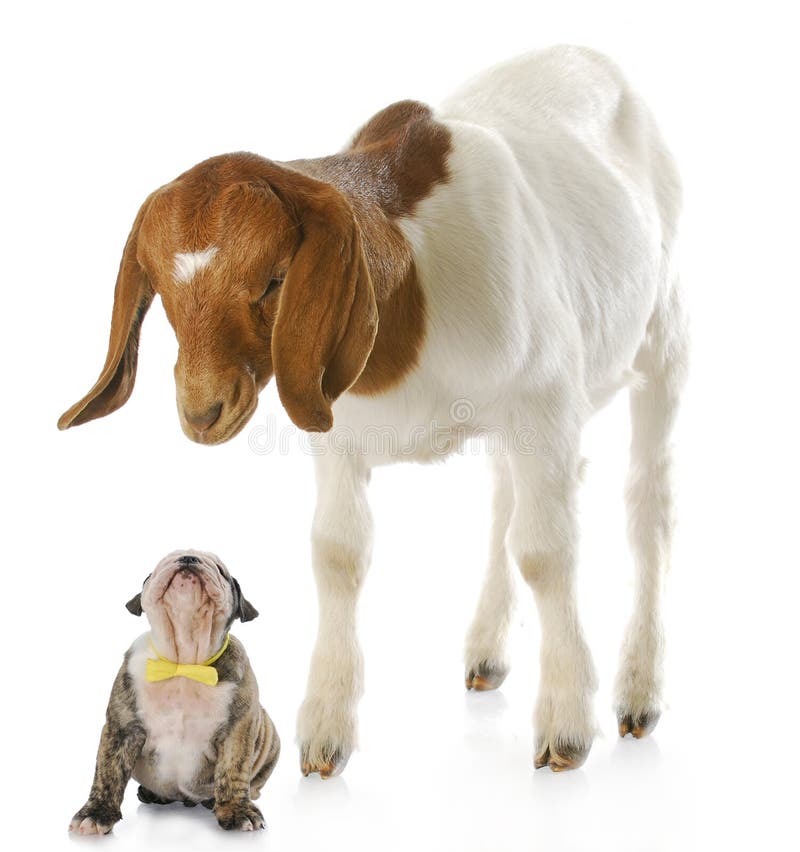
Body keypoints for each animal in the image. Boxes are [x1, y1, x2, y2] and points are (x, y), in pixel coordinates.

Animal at [59, 45, 688, 775]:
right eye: (159, 287)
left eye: (275, 279)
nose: (201, 410)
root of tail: (581, 54)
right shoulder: (341, 433)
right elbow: (338, 553)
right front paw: (325, 730)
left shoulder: (548, 401)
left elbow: (546, 551)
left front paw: (566, 727)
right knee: (505, 494)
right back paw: (489, 651)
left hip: (663, 334)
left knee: (648, 502)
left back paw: (639, 691)